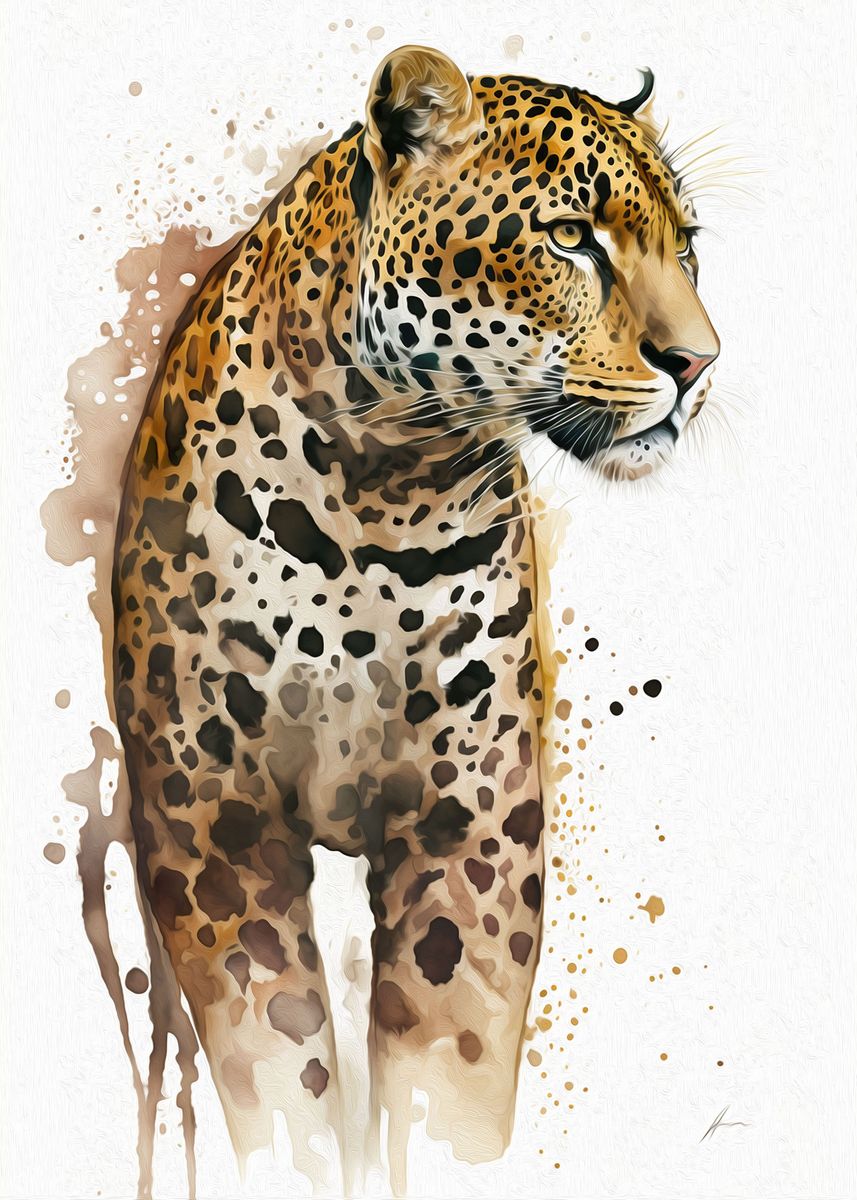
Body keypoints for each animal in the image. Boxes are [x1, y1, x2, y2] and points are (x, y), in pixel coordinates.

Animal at [112, 45, 719, 1194]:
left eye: (688, 245)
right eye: (569, 236)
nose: (699, 364)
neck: (381, 482)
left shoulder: (472, 817)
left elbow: (452, 1071)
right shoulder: (212, 814)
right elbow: (274, 1066)